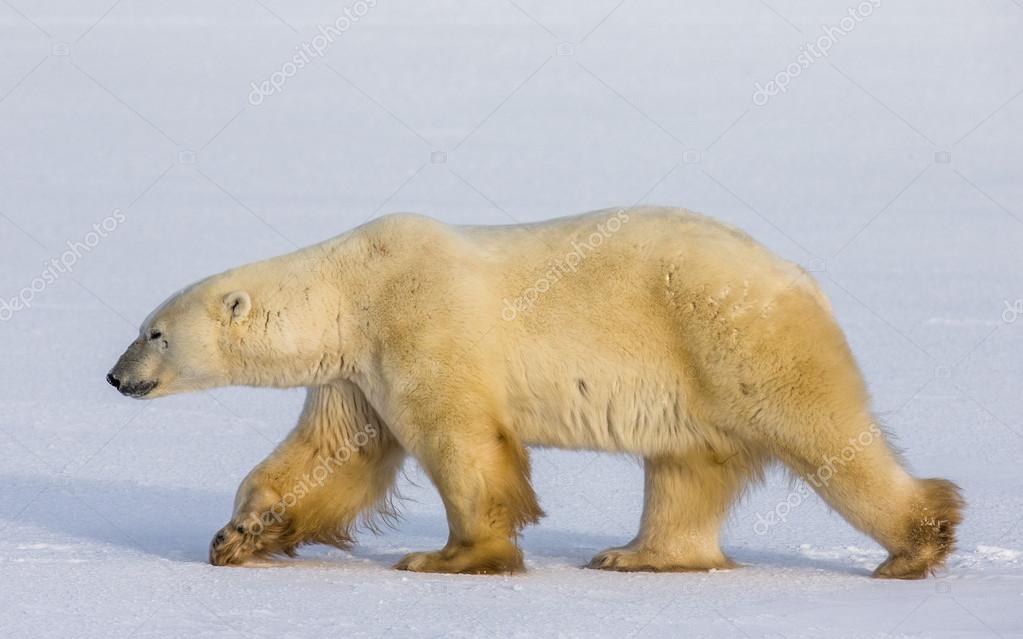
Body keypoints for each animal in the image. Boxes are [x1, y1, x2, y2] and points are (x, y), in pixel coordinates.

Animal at [107, 206, 963, 579]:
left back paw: (917, 541)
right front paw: (239, 534)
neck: (351, 287)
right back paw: (636, 554)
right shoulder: (356, 371)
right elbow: (328, 455)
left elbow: (459, 442)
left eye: (154, 332)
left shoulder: (420, 321)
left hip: (738, 341)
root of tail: (799, 277)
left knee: (827, 438)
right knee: (684, 469)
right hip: (697, 380)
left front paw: (450, 554)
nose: (115, 375)